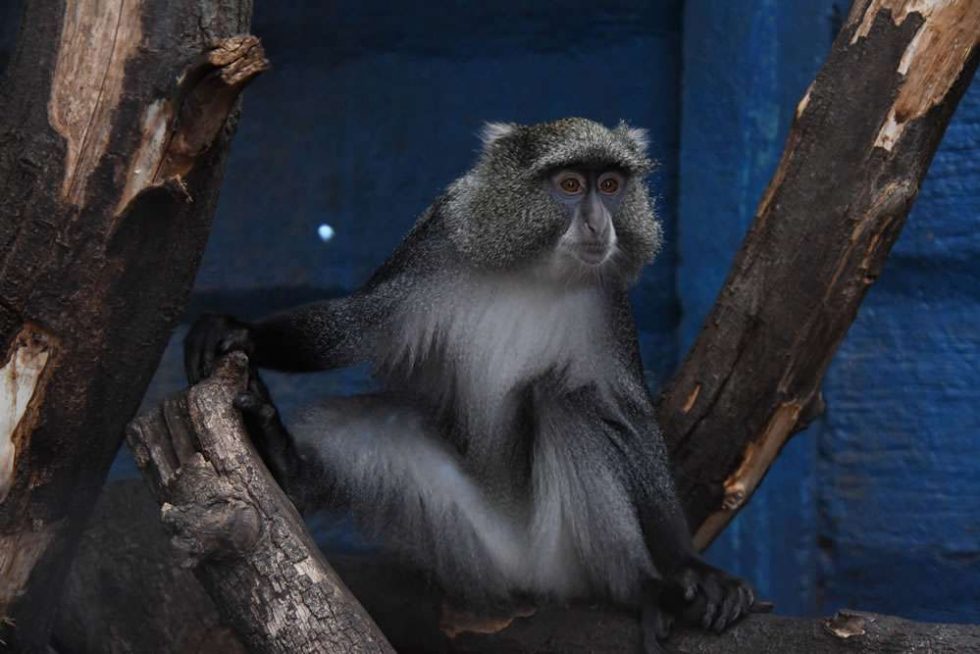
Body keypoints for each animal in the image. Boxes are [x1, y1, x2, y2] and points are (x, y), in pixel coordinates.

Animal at [185, 117, 755, 652]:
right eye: (570, 185)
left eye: (612, 185)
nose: (598, 223)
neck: (537, 268)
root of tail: (527, 569)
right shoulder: (435, 244)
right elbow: (353, 326)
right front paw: (240, 330)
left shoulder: (611, 305)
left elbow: (628, 416)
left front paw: (690, 566)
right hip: (474, 538)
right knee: (374, 424)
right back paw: (287, 464)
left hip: (563, 552)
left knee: (568, 402)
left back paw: (643, 587)